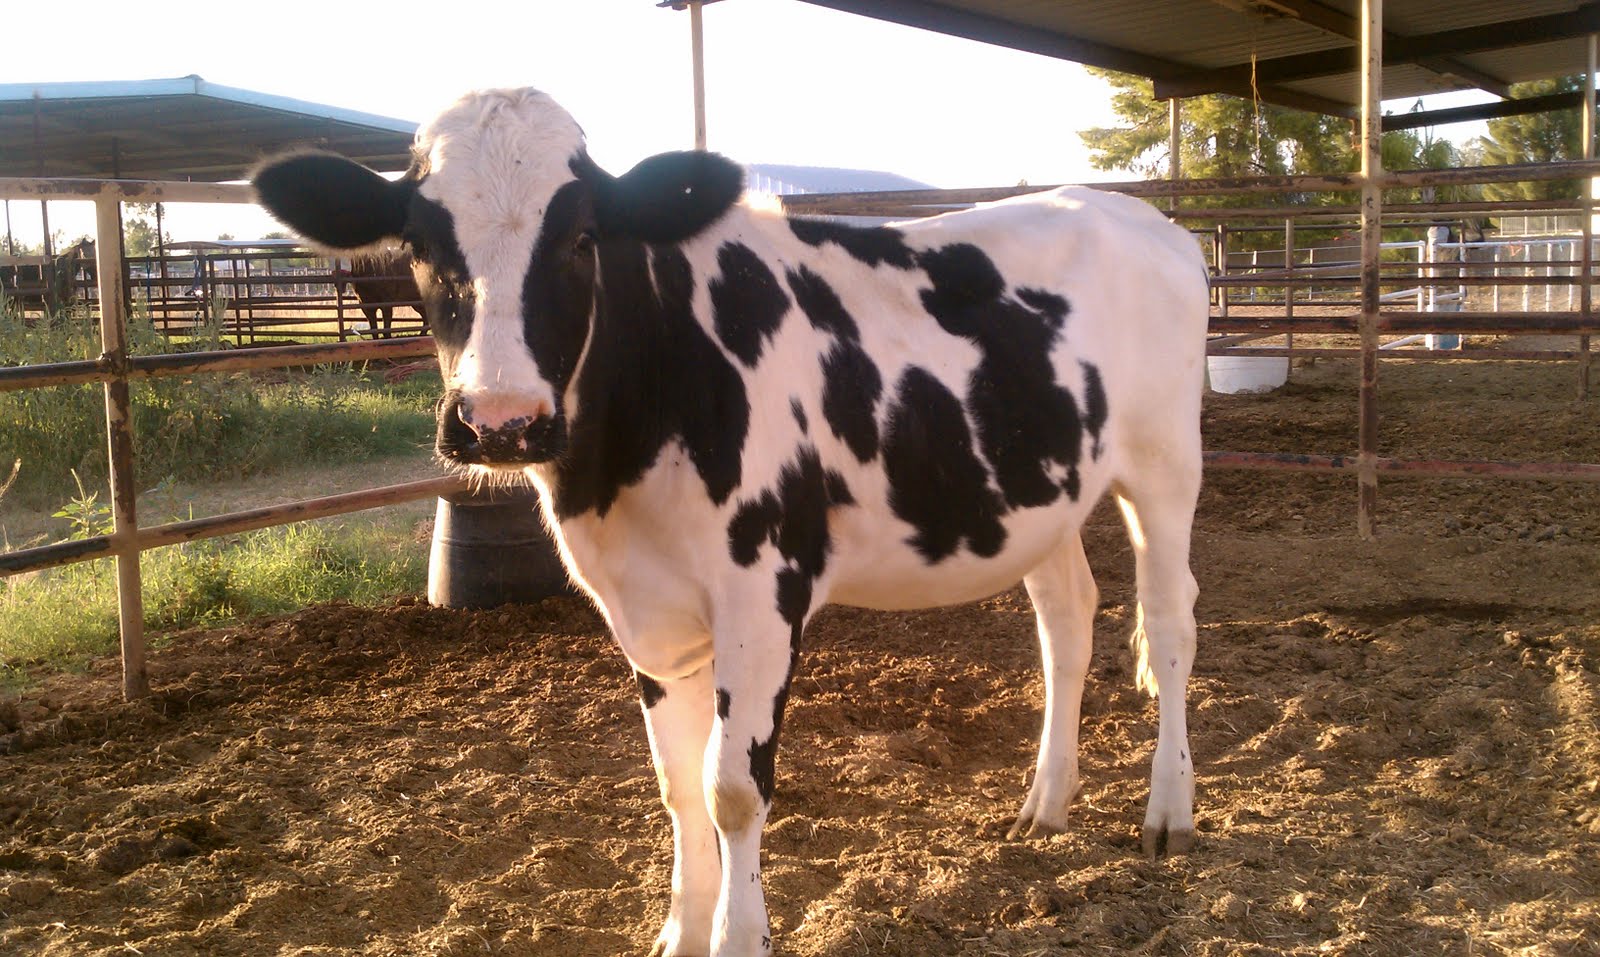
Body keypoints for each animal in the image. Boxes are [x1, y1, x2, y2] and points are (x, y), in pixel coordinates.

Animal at [254, 87, 1208, 957]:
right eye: (418, 244)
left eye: (582, 238)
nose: (500, 419)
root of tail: (1140, 216)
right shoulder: (641, 606)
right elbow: (677, 782)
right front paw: (680, 929)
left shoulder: (762, 592)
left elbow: (733, 787)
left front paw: (738, 935)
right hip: (1041, 495)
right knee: (1067, 621)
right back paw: (1045, 805)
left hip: (1165, 464)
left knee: (1169, 625)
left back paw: (1168, 812)